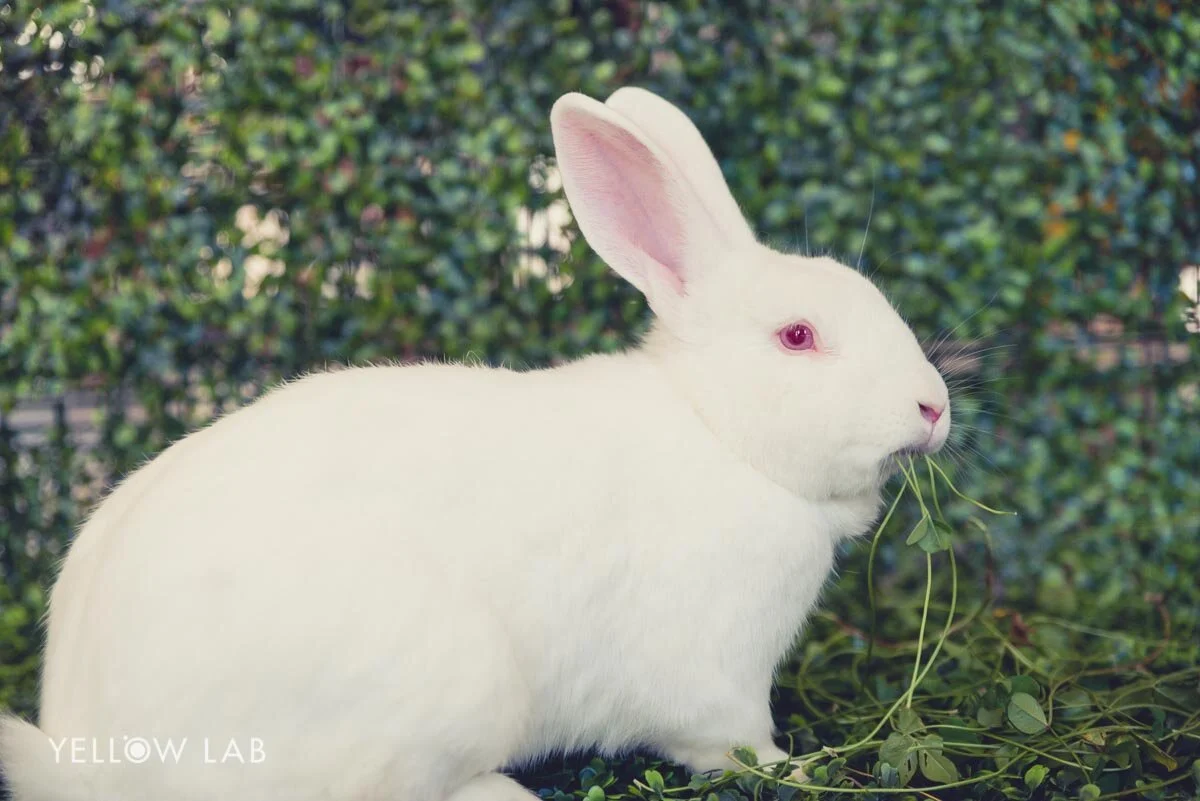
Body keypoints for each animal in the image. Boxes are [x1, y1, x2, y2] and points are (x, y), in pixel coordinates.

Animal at [0, 87, 950, 801]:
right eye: (798, 336)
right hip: (445, 686)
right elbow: (736, 746)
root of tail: (90, 761)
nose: (934, 405)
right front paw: (804, 768)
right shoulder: (715, 676)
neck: (718, 431)